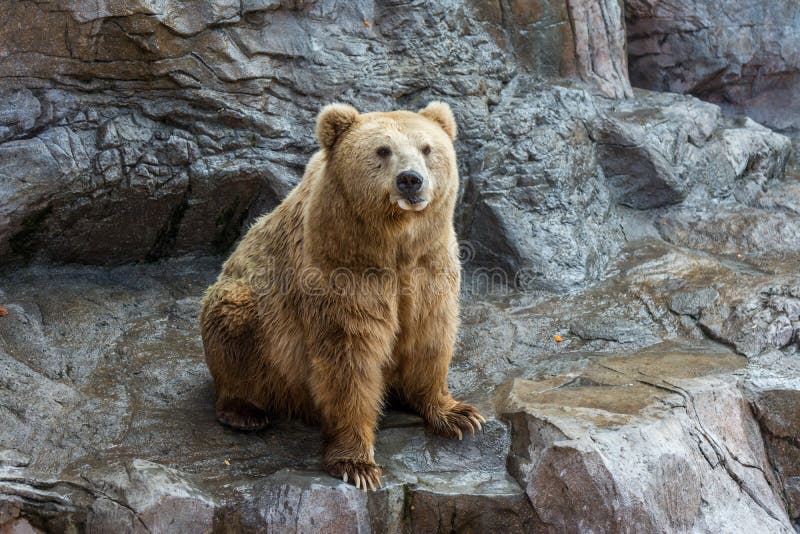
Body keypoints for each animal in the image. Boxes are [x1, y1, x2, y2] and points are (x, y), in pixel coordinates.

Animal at [199, 101, 484, 490]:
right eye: (383, 150)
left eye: (427, 149)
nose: (411, 179)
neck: (392, 243)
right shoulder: (340, 269)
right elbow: (348, 358)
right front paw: (357, 464)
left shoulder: (430, 264)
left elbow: (431, 334)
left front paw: (459, 415)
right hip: (249, 311)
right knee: (231, 318)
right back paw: (244, 411)